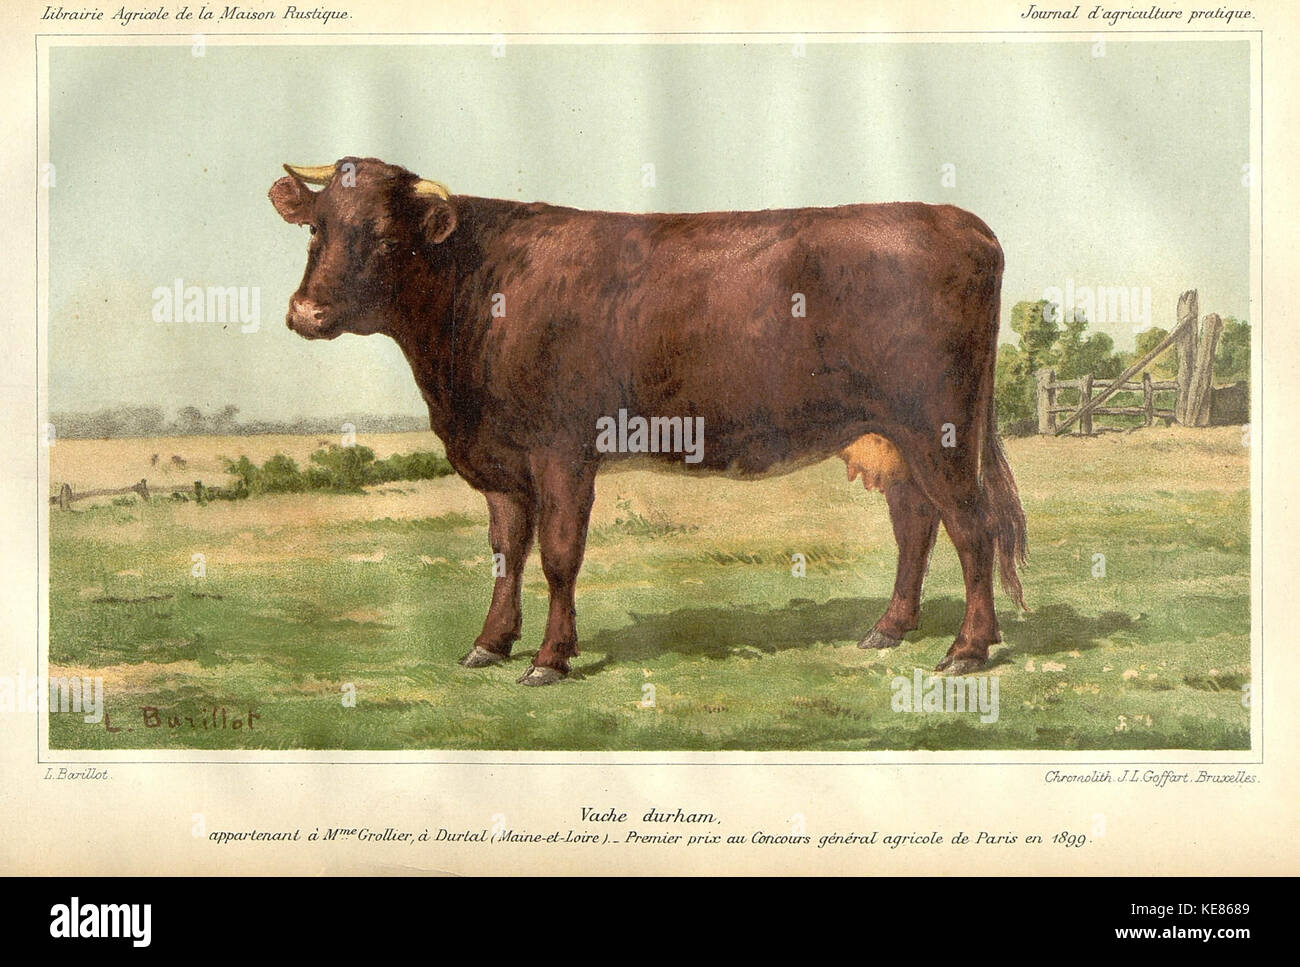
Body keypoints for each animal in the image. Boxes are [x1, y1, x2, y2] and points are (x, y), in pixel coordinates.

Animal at [269, 157, 1027, 686]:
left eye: (384, 237)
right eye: (317, 229)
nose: (305, 313)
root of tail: (958, 220)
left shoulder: (562, 449)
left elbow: (559, 555)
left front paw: (549, 658)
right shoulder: (501, 460)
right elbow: (506, 551)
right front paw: (489, 643)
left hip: (938, 428)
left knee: (971, 524)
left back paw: (968, 648)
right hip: (890, 436)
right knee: (915, 523)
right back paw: (889, 628)